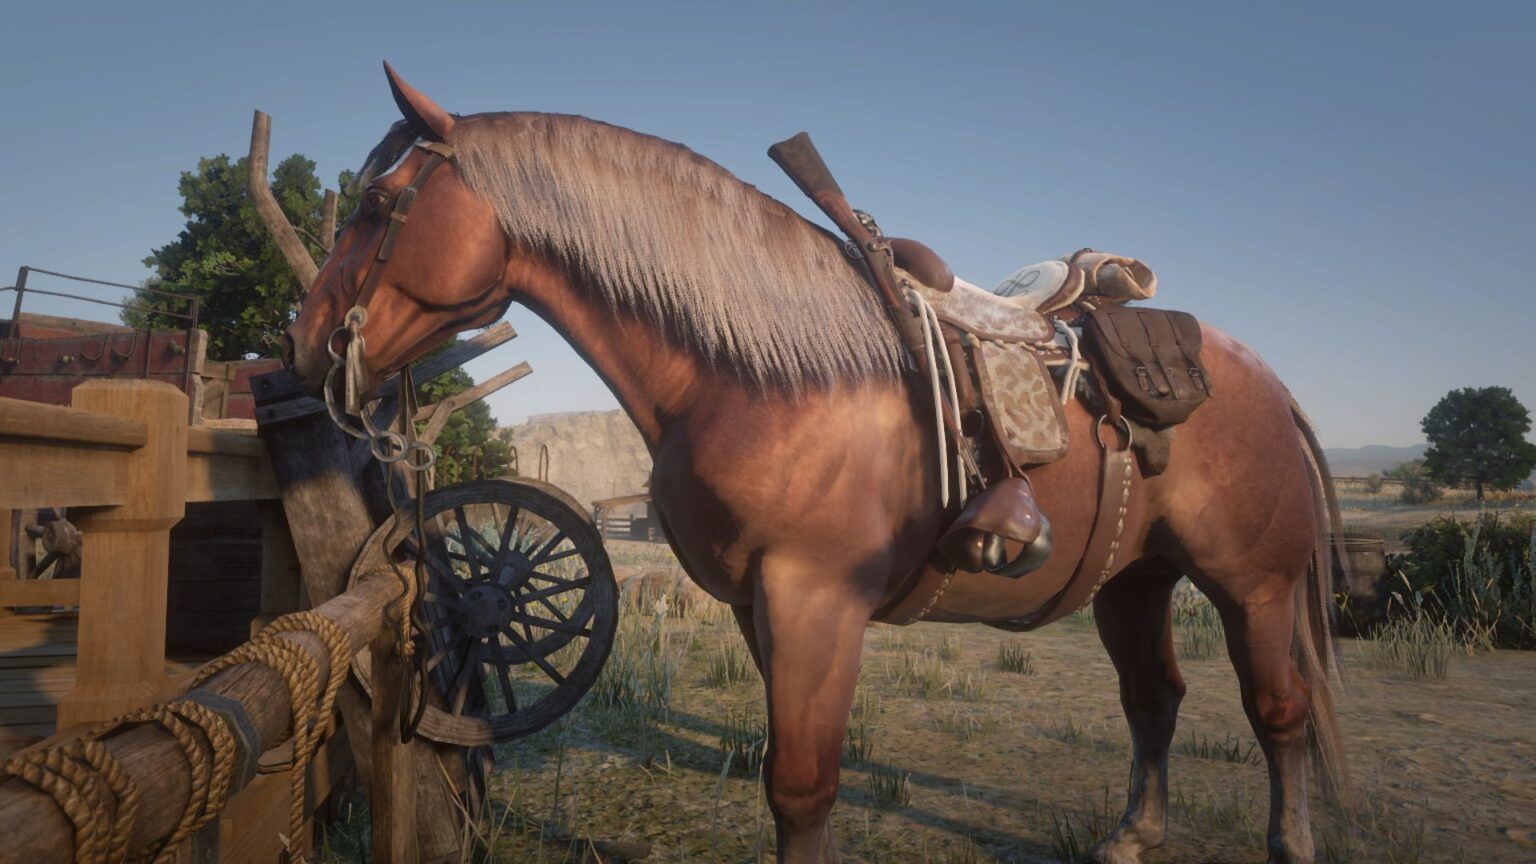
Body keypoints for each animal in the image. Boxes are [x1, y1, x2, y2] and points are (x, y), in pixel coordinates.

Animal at [284, 64, 1347, 864]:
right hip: (1135, 578)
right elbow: (792, 781)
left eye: (379, 202)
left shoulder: (814, 598)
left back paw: (1291, 841)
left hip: (1251, 585)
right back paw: (1133, 834)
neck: (761, 374)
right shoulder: (757, 607)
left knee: (1280, 713)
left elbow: (800, 785)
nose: (302, 342)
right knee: (1154, 698)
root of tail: (1263, 377)